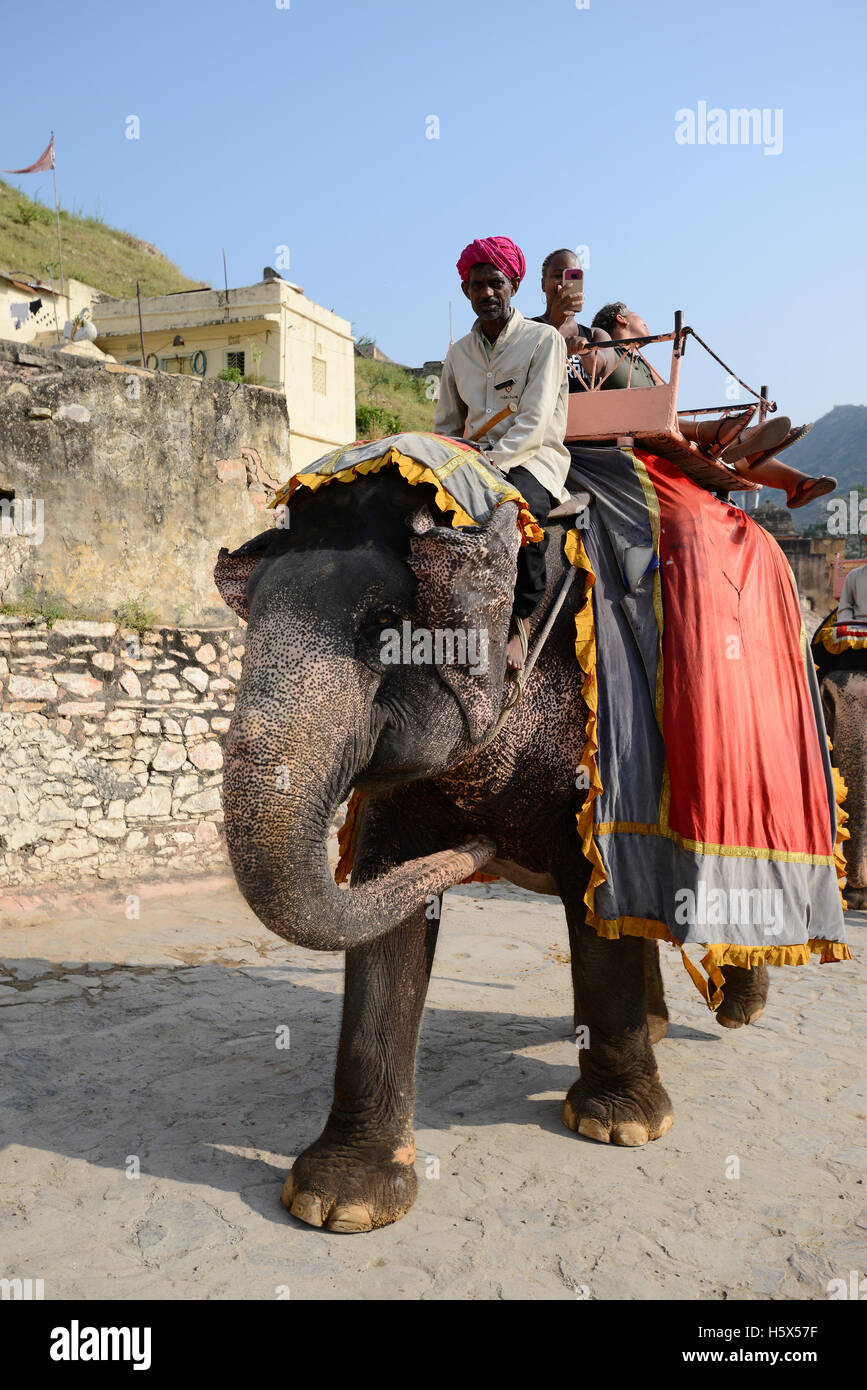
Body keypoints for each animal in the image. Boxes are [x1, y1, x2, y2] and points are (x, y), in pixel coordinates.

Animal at [215, 466, 767, 1233]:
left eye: (385, 629)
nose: (482, 843)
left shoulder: (593, 742)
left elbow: (594, 894)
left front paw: (620, 1126)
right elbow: (388, 896)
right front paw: (339, 1203)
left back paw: (737, 1011)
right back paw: (657, 1029)